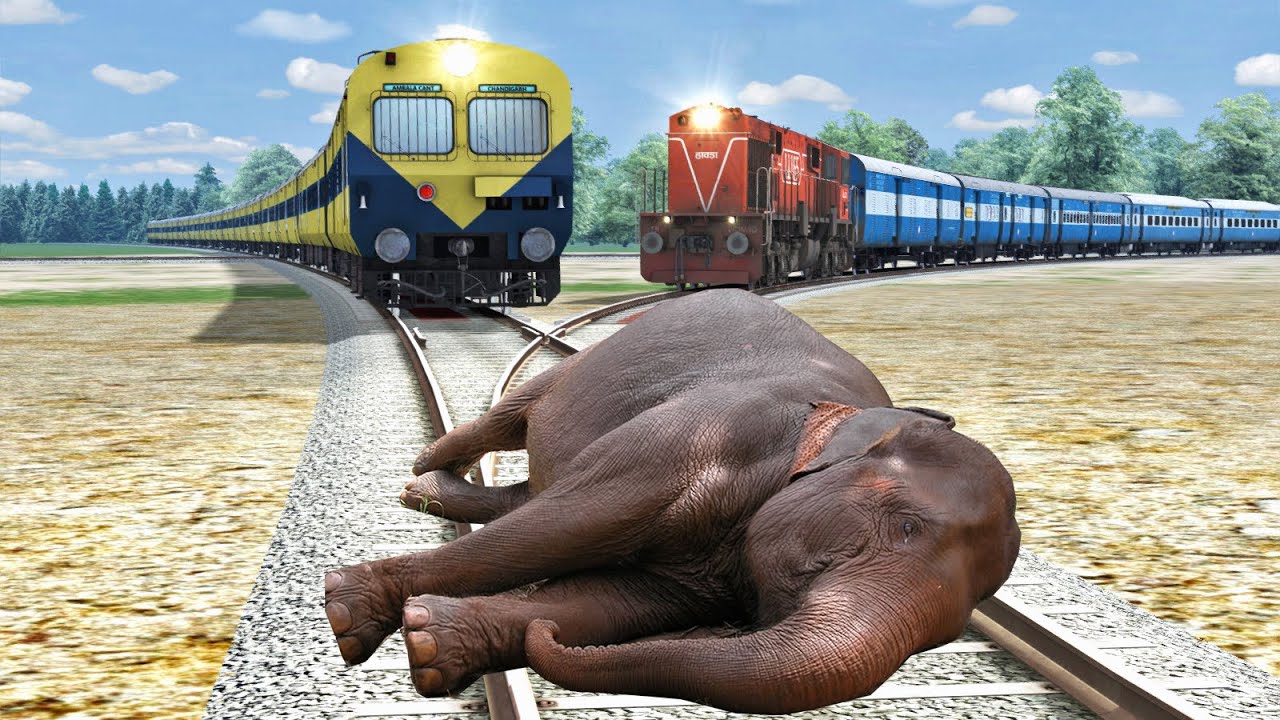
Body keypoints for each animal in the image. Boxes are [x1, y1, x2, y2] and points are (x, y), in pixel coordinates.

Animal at [323, 288, 1020, 714]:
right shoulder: (706, 432)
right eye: (904, 526)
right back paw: (420, 481)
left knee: (526, 494)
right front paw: (349, 615)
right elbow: (569, 522)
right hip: (576, 369)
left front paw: (430, 644)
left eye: (954, 632)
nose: (544, 639)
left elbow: (609, 600)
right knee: (508, 431)